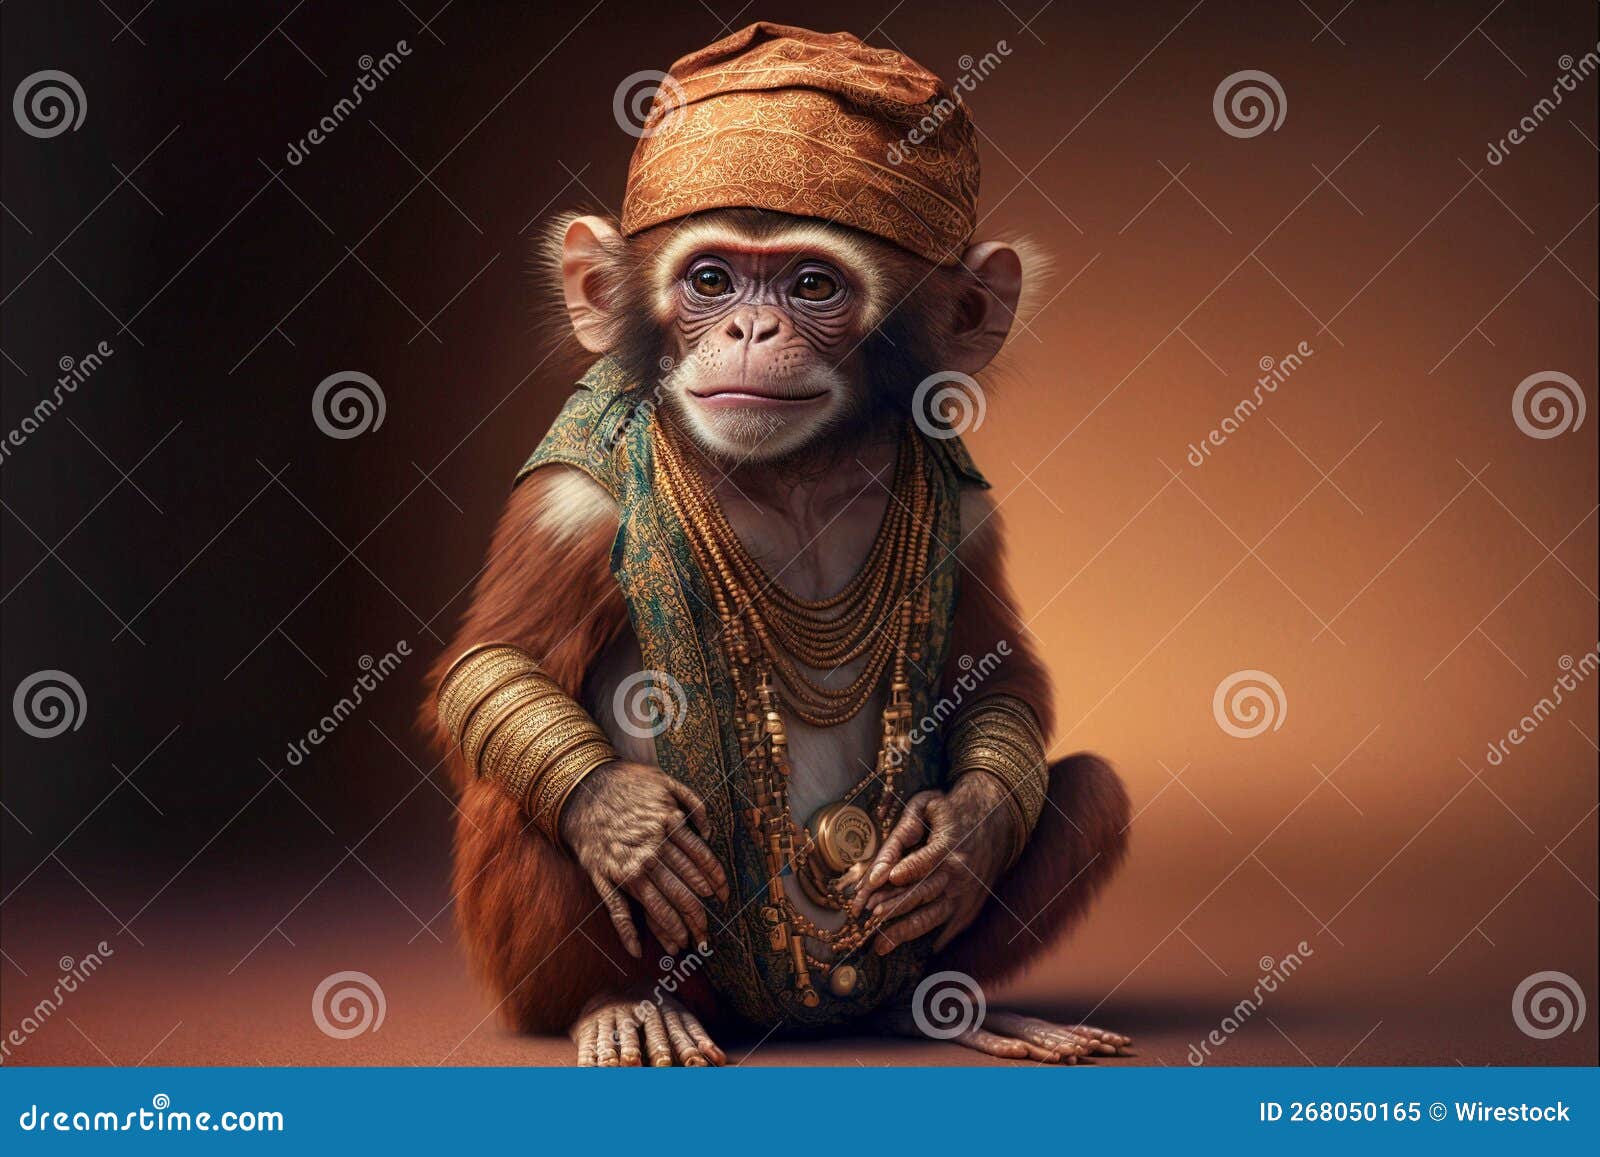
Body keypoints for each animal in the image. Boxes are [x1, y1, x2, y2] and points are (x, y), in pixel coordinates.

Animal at [424, 22, 1132, 1066]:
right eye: (711, 279)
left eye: (812, 284)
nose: (754, 326)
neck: (792, 473)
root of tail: (798, 1019)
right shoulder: (570, 505)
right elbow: (496, 666)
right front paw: (623, 819)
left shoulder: (974, 523)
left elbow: (1004, 682)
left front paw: (959, 834)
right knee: (512, 789)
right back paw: (620, 1002)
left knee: (1087, 792)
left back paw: (948, 1009)